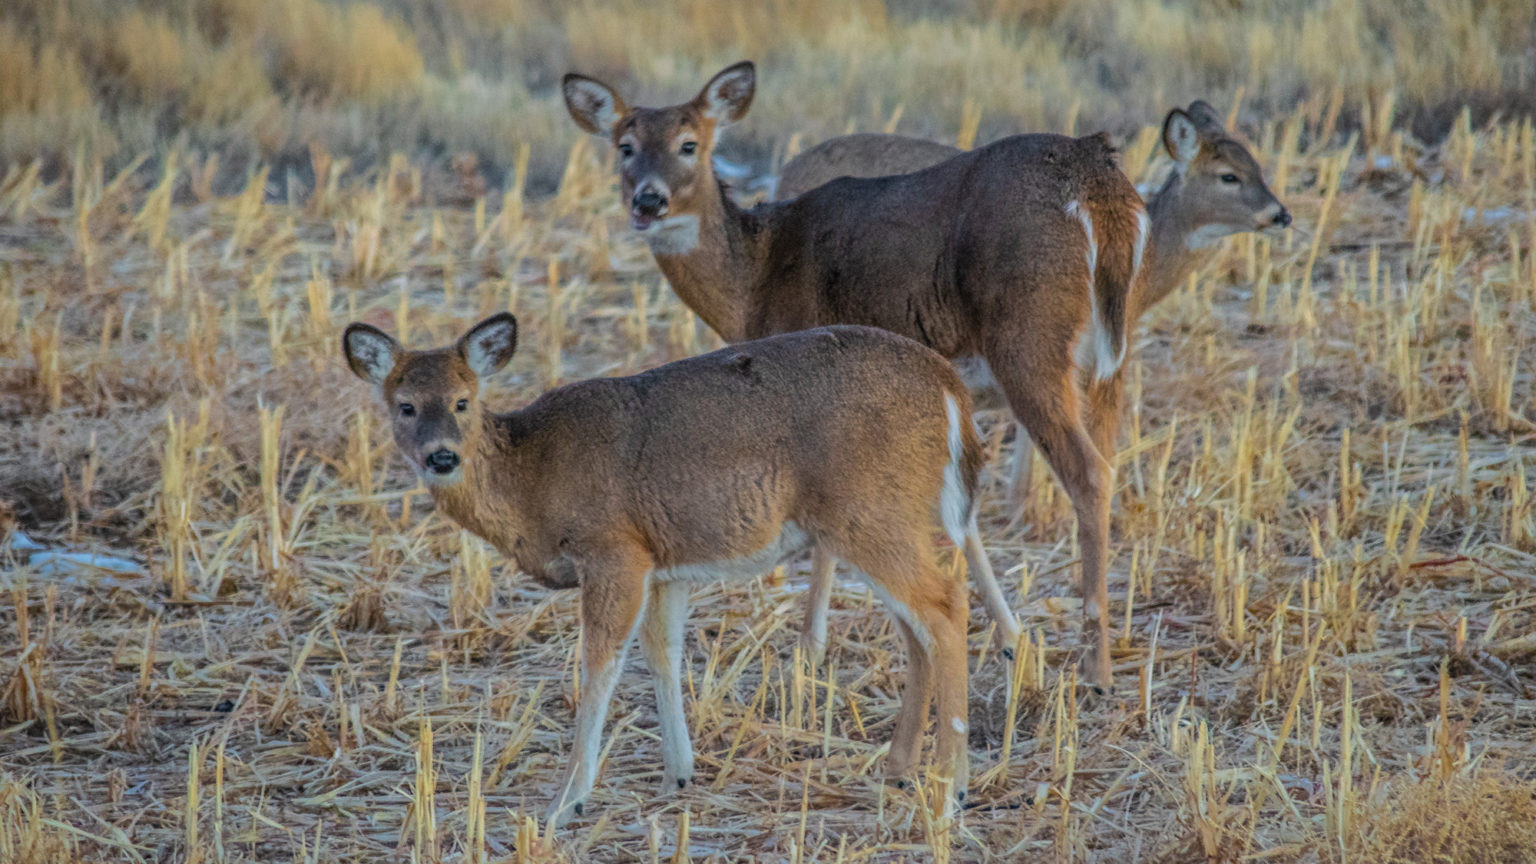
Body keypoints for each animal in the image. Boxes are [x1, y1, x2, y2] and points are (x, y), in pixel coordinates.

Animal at [342, 314, 977, 827]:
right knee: (917, 628)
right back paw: (900, 771)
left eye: (463, 400)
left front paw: (565, 802)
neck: (533, 479)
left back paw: (950, 793)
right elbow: (662, 653)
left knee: (946, 606)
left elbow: (600, 662)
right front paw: (680, 773)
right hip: (883, 517)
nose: (442, 456)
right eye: (404, 405)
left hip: (867, 510)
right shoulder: (664, 564)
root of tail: (948, 386)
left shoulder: (615, 548)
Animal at [564, 61, 1148, 688]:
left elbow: (831, 533)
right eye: (624, 146)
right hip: (1108, 353)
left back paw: (1096, 663)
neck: (754, 279)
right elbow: (960, 519)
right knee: (1107, 454)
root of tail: (1096, 184)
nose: (648, 200)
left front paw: (808, 648)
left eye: (689, 144)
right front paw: (1013, 641)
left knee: (1089, 473)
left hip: (1028, 337)